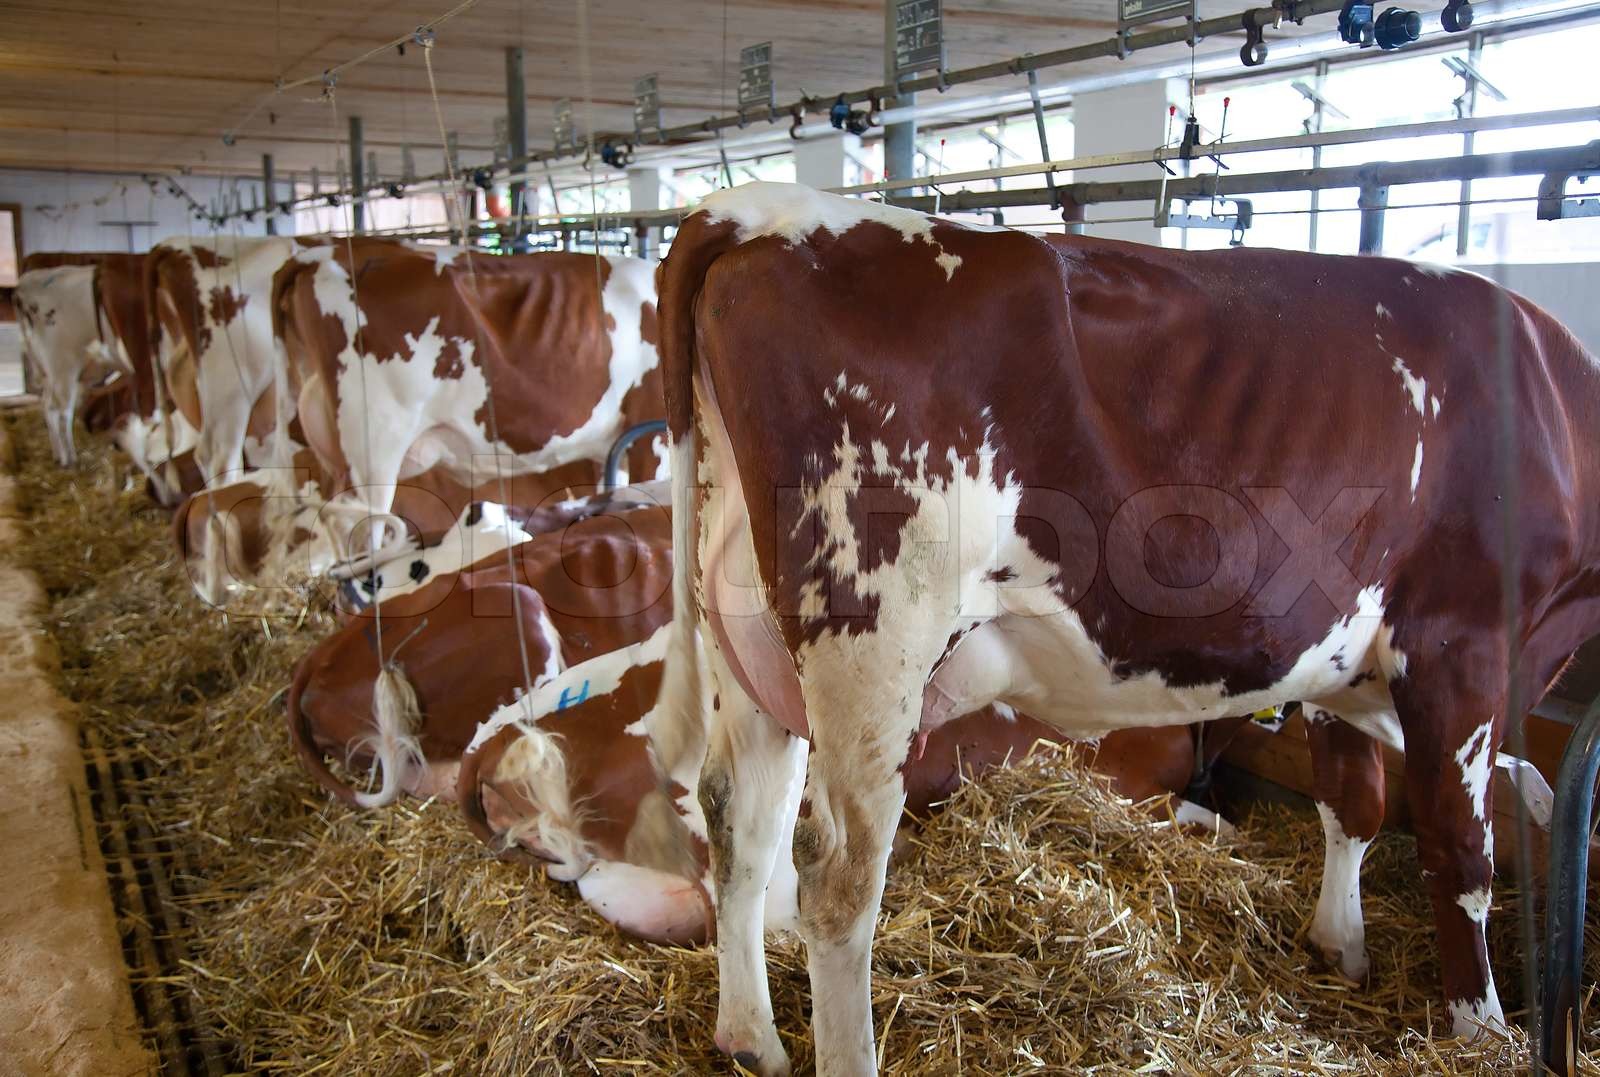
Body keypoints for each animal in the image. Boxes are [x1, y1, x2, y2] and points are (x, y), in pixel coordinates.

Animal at [271, 243, 667, 571]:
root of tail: (318, 255)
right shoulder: (652, 438)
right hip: (374, 450)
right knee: (363, 528)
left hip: (334, 452)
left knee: (336, 520)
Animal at [642, 181, 1600, 1072]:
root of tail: (765, 207)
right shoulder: (1460, 644)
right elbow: (1460, 849)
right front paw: (1482, 1030)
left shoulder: (1342, 656)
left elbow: (1352, 801)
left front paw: (1342, 946)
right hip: (874, 636)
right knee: (836, 876)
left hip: (751, 638)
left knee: (739, 818)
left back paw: (750, 1038)